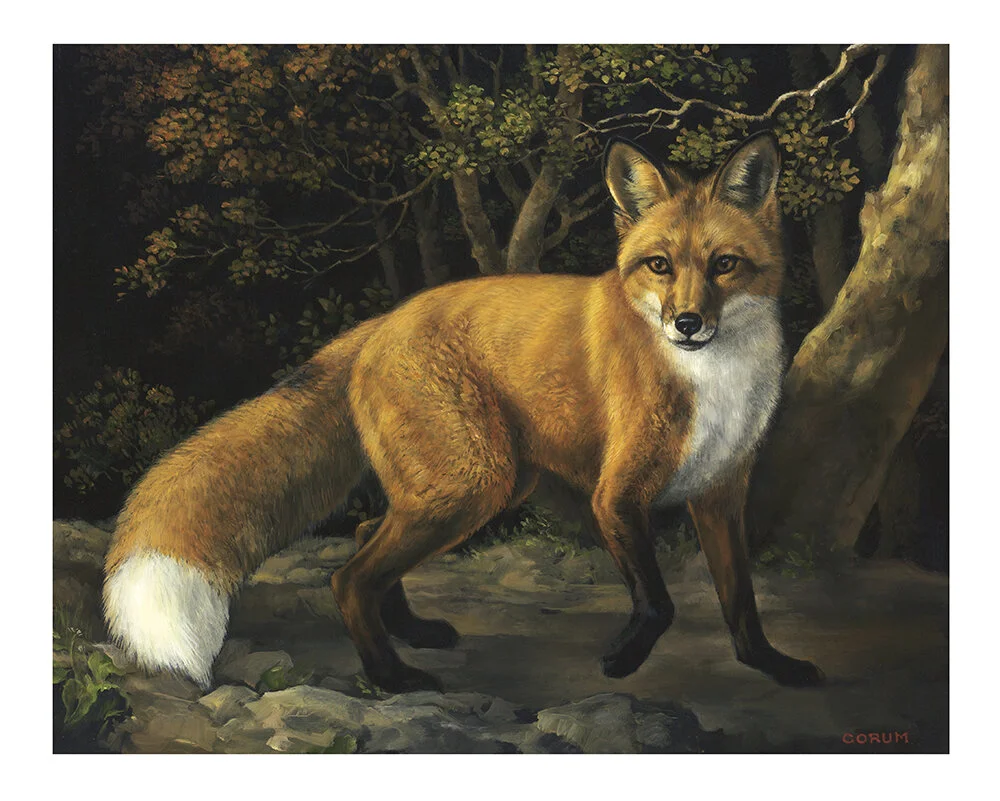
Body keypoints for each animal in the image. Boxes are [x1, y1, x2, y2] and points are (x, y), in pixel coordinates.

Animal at [103, 132, 824, 694]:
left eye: (725, 264)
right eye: (659, 265)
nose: (688, 323)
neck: (713, 380)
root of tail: (383, 321)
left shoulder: (721, 494)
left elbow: (741, 600)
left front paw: (769, 665)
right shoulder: (617, 495)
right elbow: (658, 603)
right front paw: (623, 659)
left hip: (483, 484)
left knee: (365, 533)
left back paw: (411, 632)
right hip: (474, 483)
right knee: (349, 576)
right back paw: (392, 678)